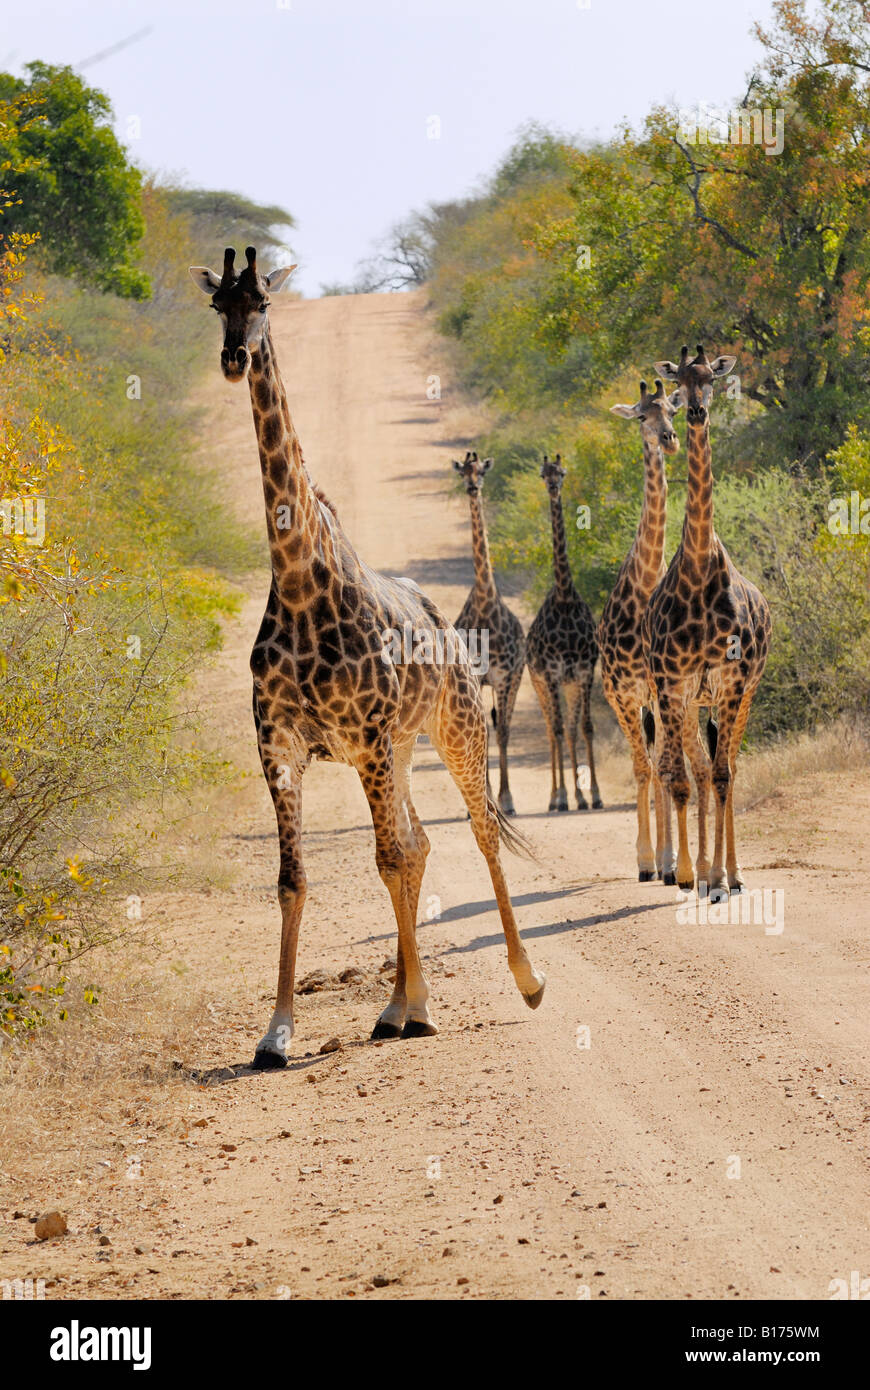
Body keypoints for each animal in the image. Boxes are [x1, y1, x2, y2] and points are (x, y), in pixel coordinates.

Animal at [189, 247, 545, 1066]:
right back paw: (400, 1003)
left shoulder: (370, 737)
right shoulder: (281, 744)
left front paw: (417, 1013)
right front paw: (277, 1033)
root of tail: (446, 627)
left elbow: (384, 859)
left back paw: (522, 982)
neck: (298, 581)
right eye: (219, 304)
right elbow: (293, 878)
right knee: (417, 842)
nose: (234, 357)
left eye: (264, 302)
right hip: (398, 750)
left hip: (450, 730)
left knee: (472, 832)